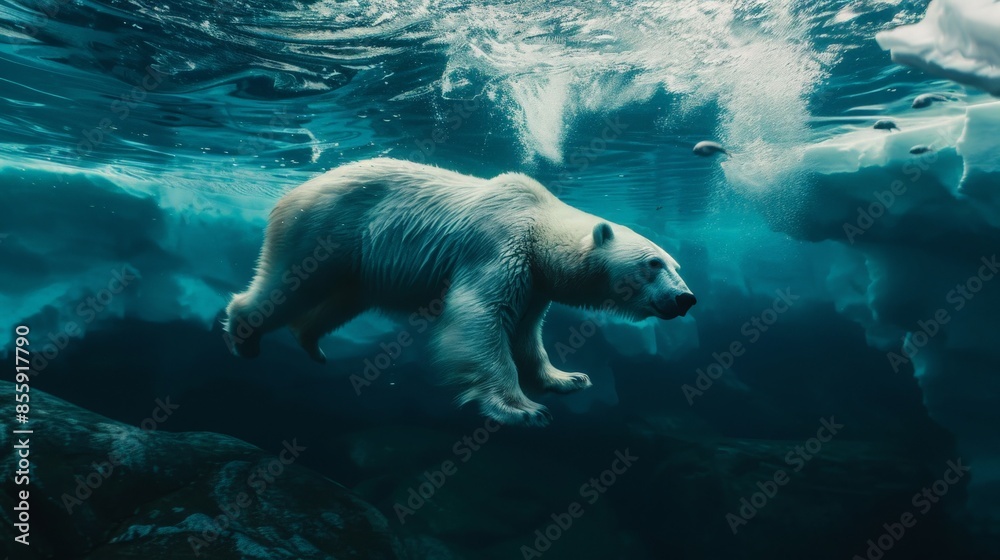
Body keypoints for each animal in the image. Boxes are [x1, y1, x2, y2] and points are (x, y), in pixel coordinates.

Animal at [224, 158, 695, 426]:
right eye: (653, 264)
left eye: (676, 266)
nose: (686, 299)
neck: (538, 223)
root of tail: (292, 191)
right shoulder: (501, 247)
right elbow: (479, 317)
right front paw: (522, 410)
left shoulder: (534, 282)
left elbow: (527, 334)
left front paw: (568, 378)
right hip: (325, 230)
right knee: (290, 285)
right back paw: (245, 334)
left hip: (355, 262)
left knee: (339, 300)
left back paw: (311, 342)